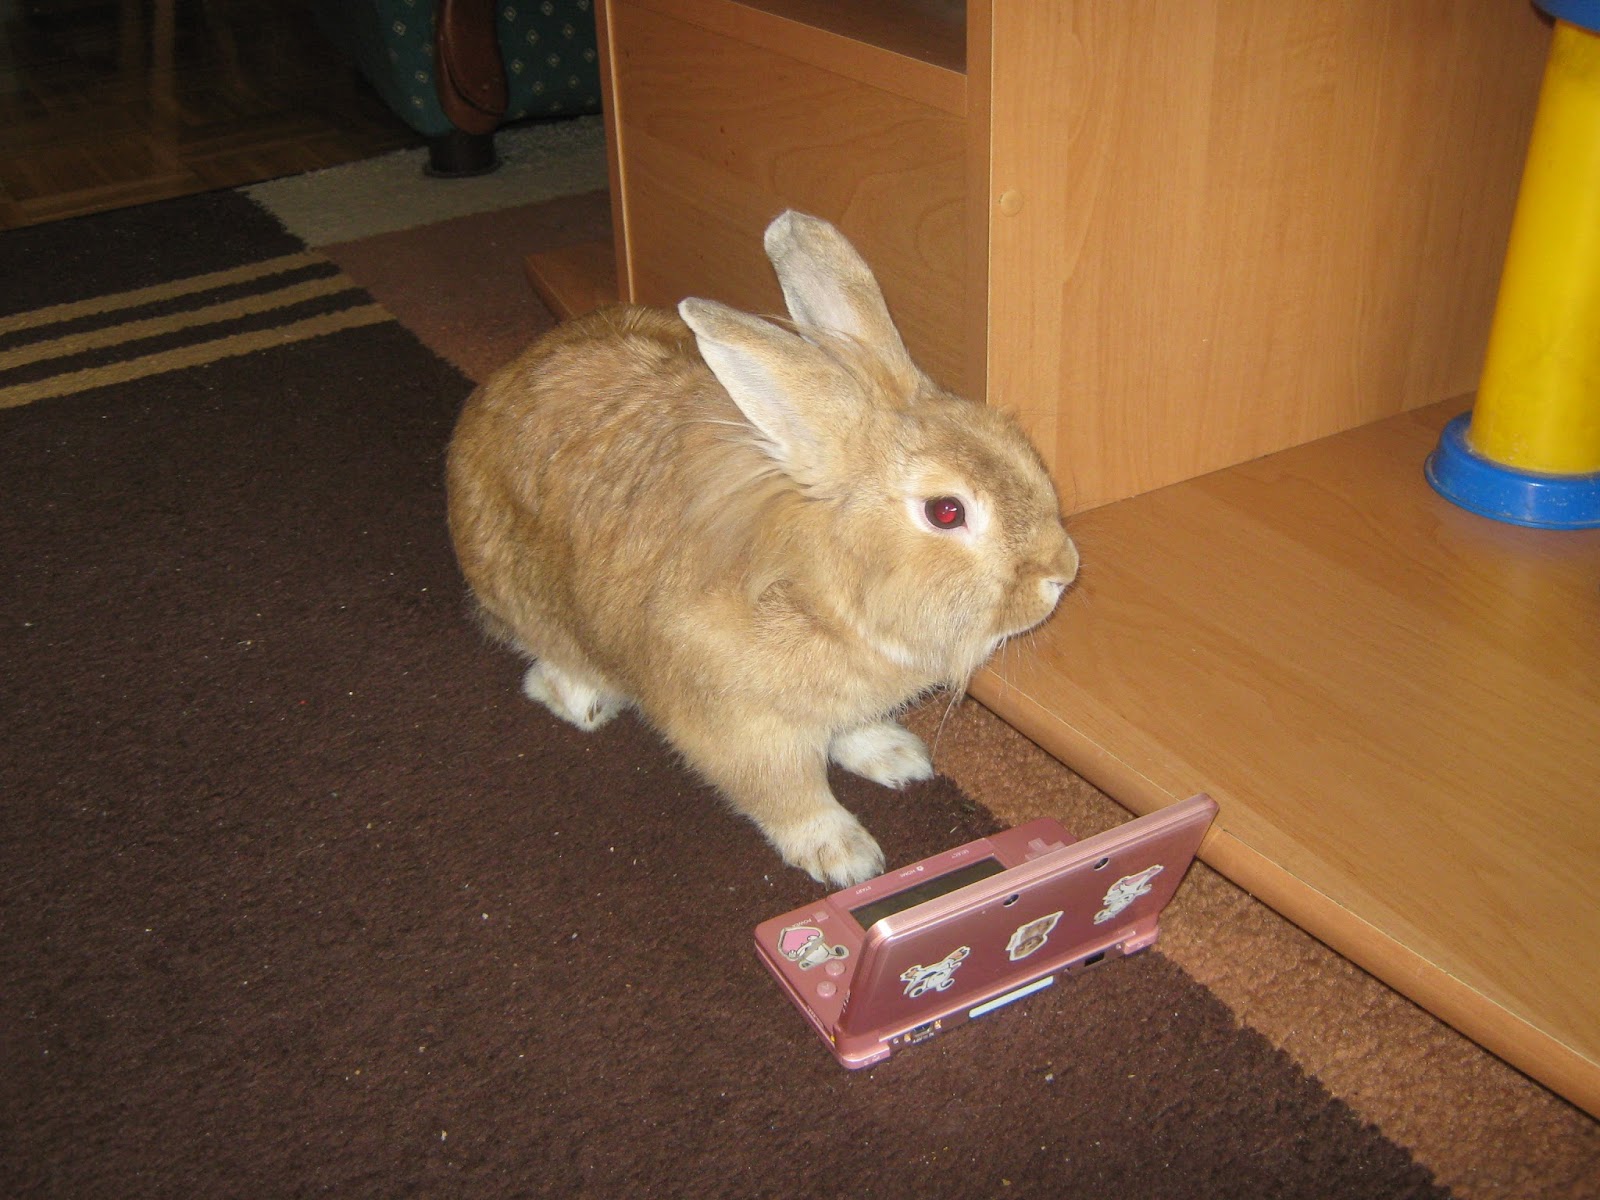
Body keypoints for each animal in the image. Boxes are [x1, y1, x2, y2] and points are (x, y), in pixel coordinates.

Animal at [445, 211, 1078, 887]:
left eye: (1007, 437)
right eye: (947, 512)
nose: (1062, 572)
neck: (822, 593)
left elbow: (851, 732)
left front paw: (897, 756)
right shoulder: (740, 726)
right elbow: (788, 794)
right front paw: (846, 857)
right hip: (528, 604)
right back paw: (582, 698)